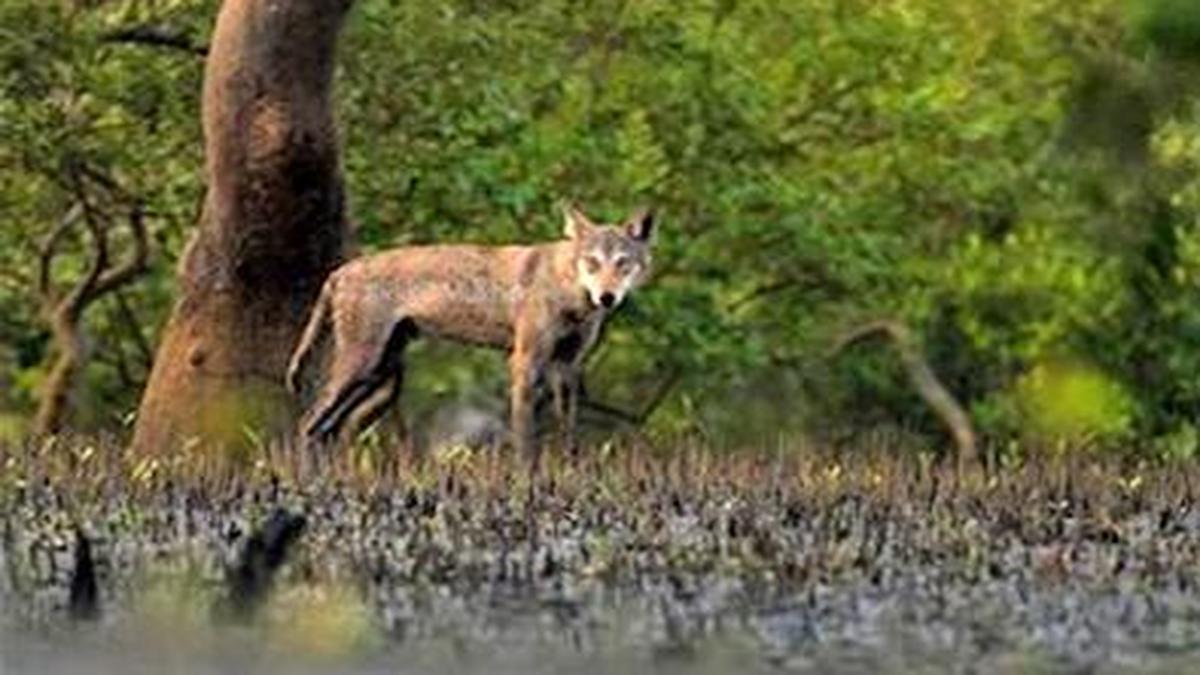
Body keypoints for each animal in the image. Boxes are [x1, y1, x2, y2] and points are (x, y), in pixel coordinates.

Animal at [286, 203, 655, 467]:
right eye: (591, 263)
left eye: (623, 263)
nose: (607, 297)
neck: (568, 292)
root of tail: (340, 271)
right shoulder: (524, 362)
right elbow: (525, 441)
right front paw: (527, 486)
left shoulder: (566, 366)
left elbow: (569, 437)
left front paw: (569, 478)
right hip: (362, 368)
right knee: (308, 424)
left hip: (378, 378)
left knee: (330, 431)